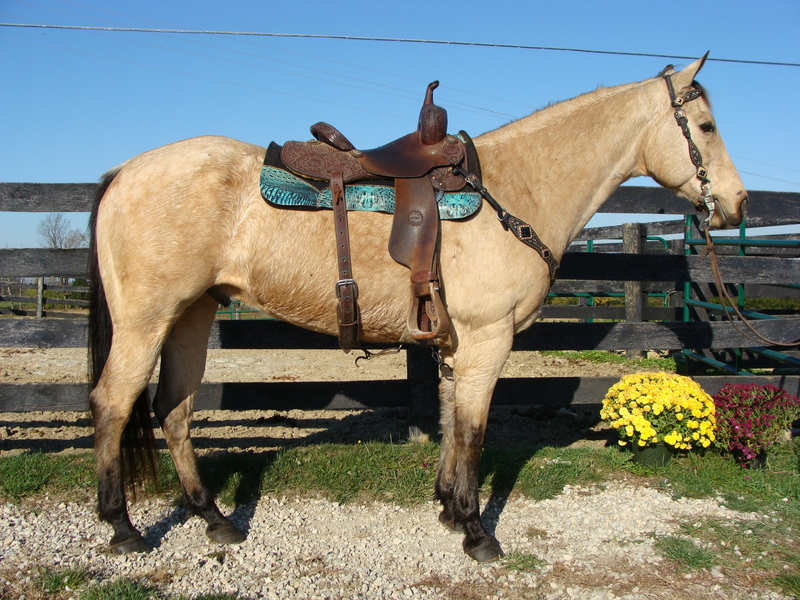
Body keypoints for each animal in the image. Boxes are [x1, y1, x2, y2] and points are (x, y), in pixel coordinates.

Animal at [87, 55, 747, 562]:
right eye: (707, 125)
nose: (737, 203)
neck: (515, 187)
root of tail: (125, 171)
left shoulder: (459, 343)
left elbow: (454, 422)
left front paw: (451, 511)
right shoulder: (489, 338)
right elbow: (475, 431)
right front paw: (478, 532)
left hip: (191, 317)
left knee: (174, 410)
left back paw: (214, 519)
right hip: (147, 321)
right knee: (114, 403)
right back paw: (122, 528)